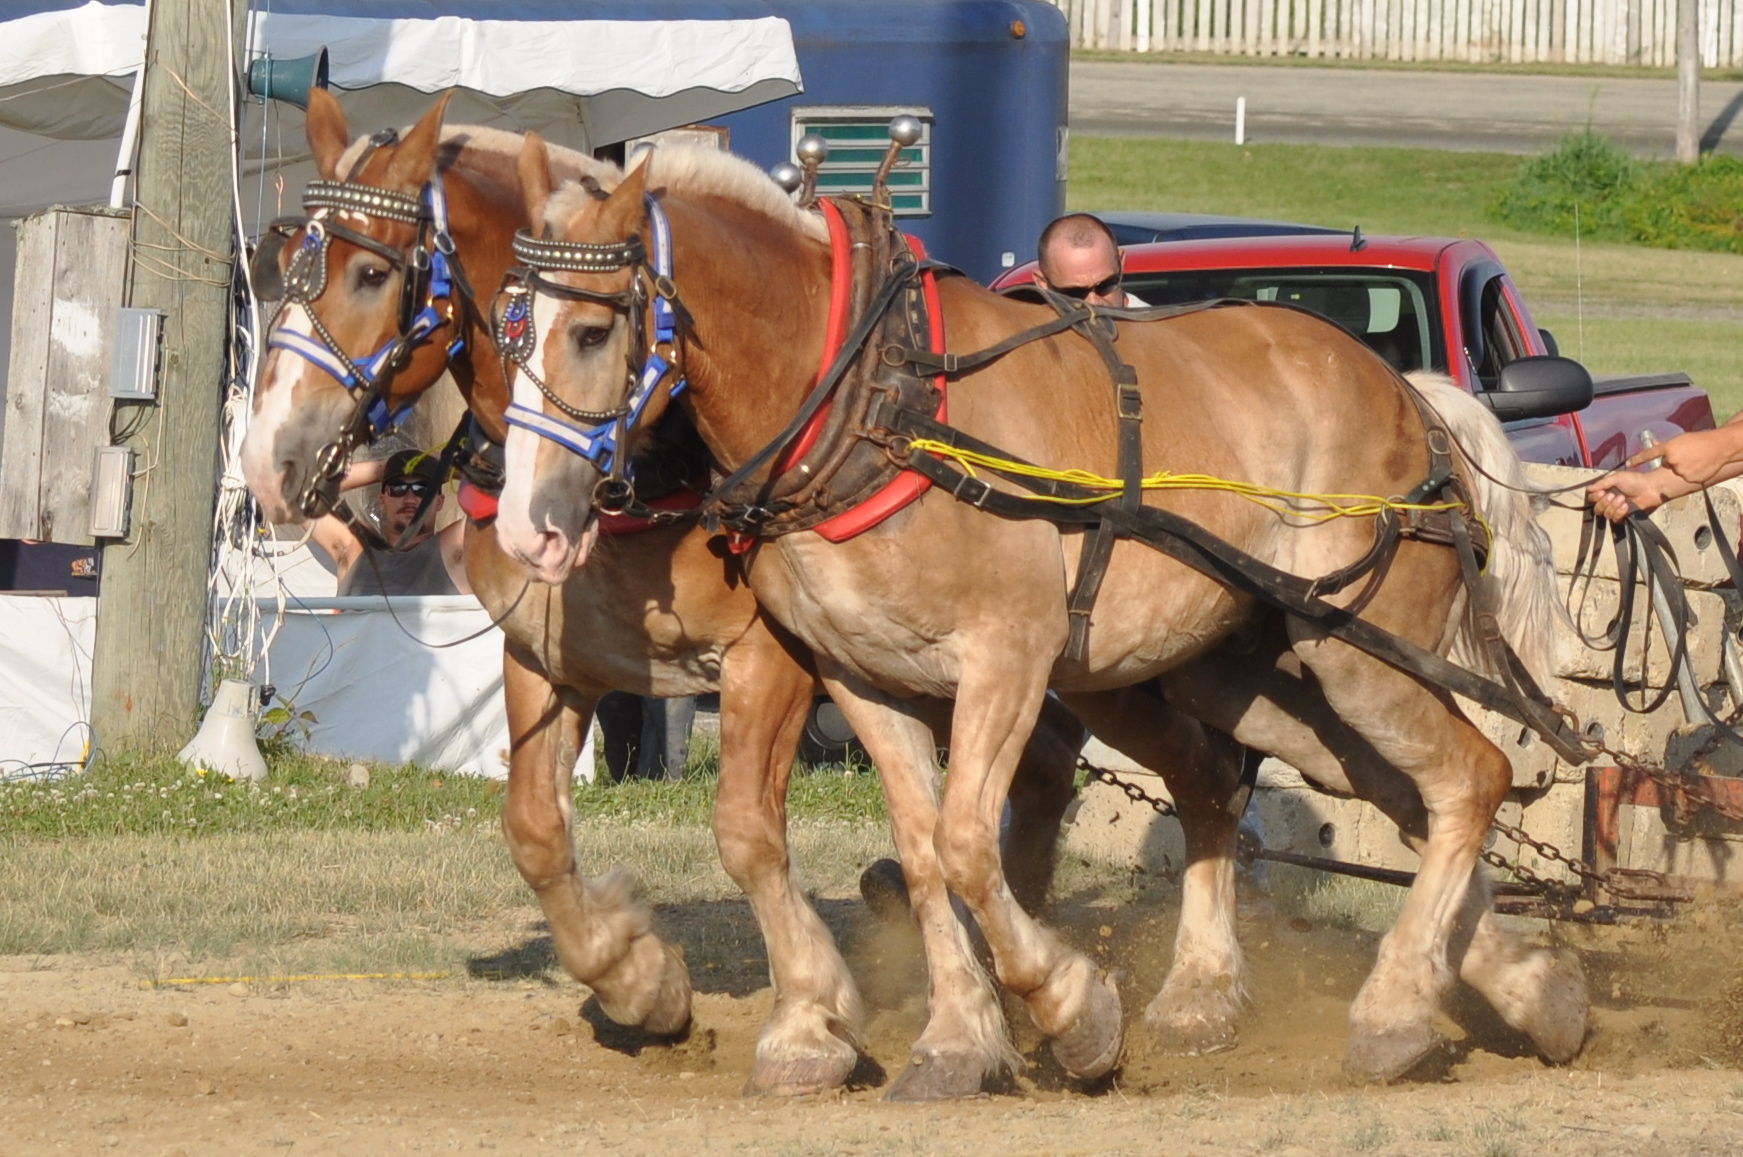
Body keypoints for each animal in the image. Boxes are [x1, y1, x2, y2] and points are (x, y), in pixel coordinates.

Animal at [238, 92, 1249, 1099]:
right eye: (280, 266)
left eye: (372, 271)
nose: (267, 464)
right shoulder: (545, 656)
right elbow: (532, 828)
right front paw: (638, 978)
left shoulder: (773, 657)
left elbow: (746, 832)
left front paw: (807, 1016)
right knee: (1097, 778)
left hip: (1109, 658)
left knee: (1176, 771)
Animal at [492, 139, 1590, 1084]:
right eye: (508, 331)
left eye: (592, 329)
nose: (526, 525)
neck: (876, 400)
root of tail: (1409, 390)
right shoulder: (863, 676)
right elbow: (926, 855)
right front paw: (957, 1039)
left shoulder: (1006, 658)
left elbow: (971, 845)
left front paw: (1071, 1009)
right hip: (1252, 675)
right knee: (1340, 791)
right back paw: (1504, 991)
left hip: (1361, 647)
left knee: (1468, 779)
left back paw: (1398, 1007)